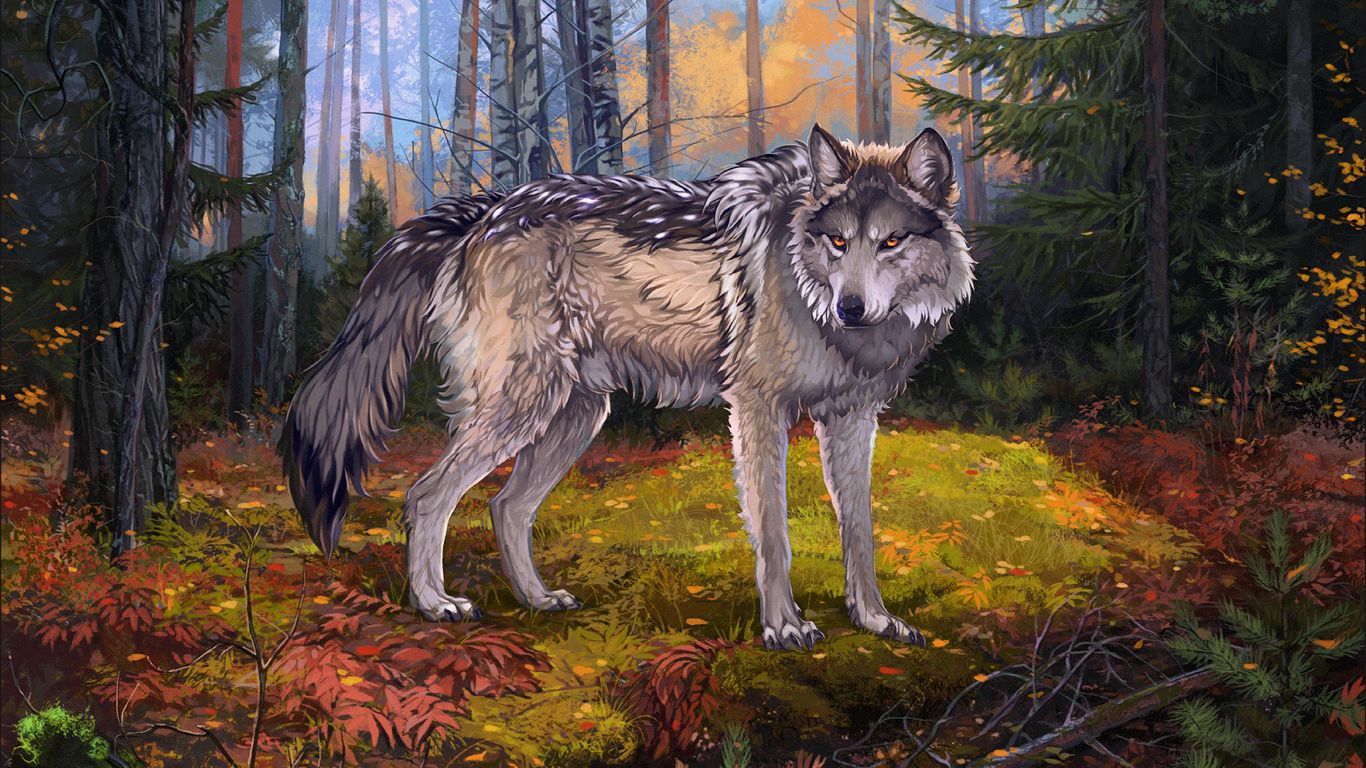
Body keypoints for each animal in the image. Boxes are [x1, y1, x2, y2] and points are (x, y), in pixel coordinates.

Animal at [282, 124, 974, 650]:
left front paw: (875, 619)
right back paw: (435, 603)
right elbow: (774, 533)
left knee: (506, 506)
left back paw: (537, 599)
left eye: (891, 241)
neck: (806, 280)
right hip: (522, 406)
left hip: (574, 416)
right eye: (837, 241)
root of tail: (480, 212)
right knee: (427, 495)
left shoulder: (854, 418)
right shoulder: (757, 408)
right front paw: (784, 628)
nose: (850, 308)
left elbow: (859, 530)